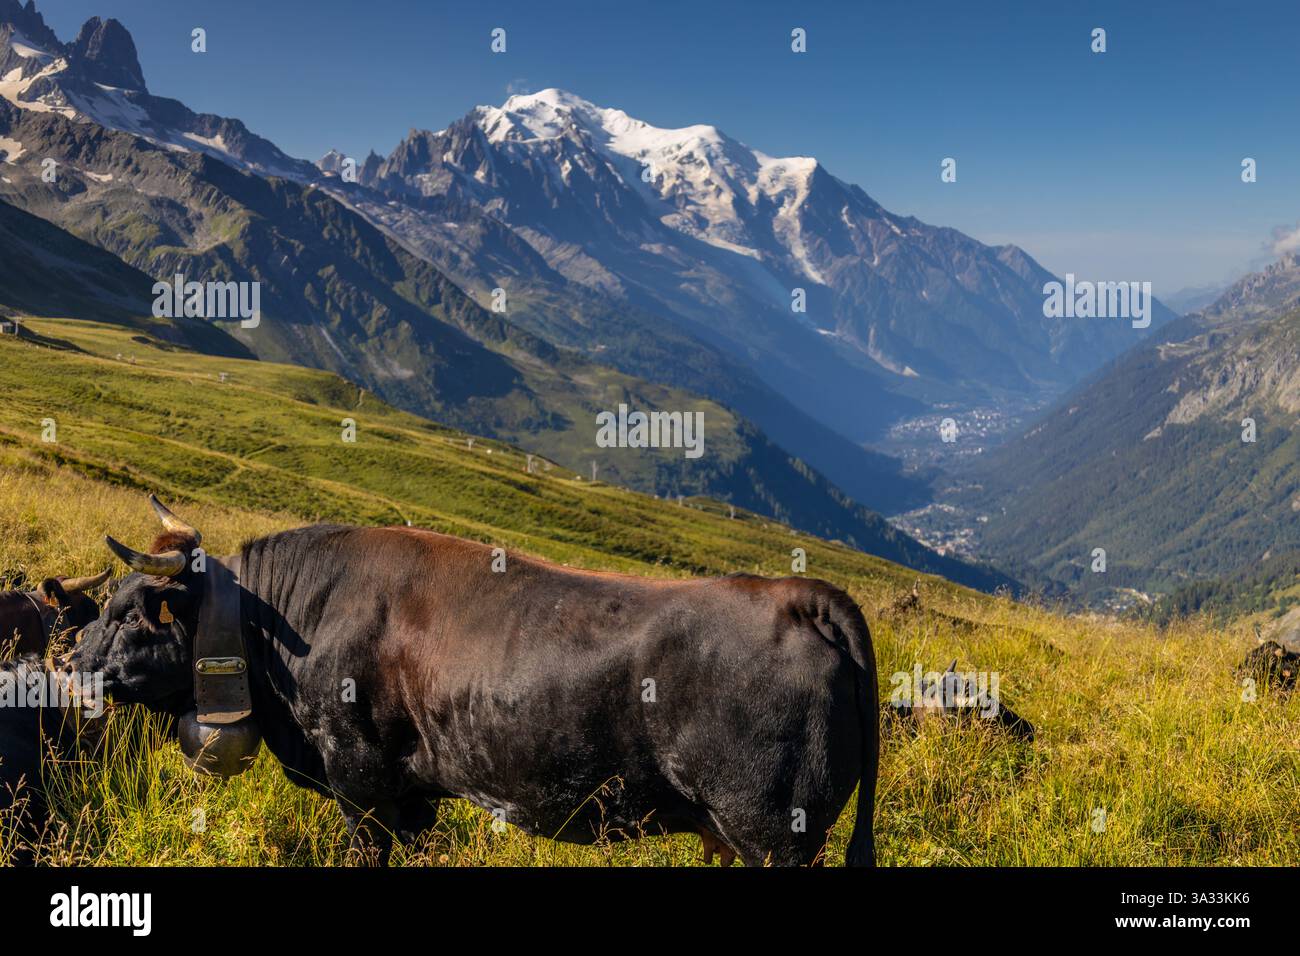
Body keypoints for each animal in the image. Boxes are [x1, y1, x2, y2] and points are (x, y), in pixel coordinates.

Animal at [68, 495, 879, 866]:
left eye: (132, 611)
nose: (70, 663)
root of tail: (800, 597)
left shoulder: (360, 785)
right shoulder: (414, 795)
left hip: (773, 833)